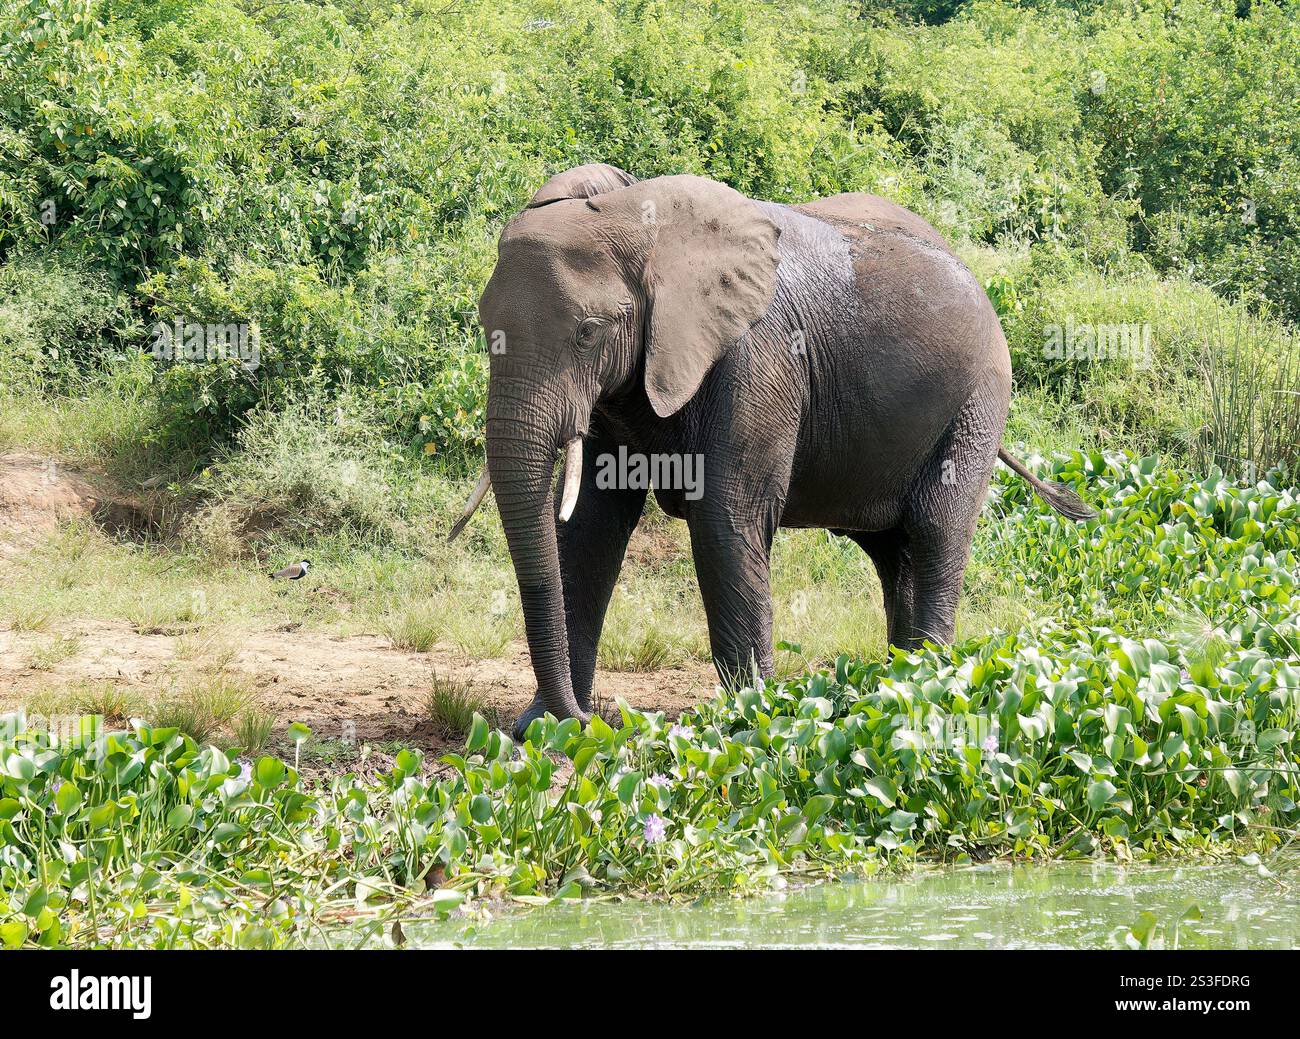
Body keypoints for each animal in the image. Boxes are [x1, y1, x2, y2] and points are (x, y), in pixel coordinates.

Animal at [450, 163, 1095, 738]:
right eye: (484, 326)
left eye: (589, 331)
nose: (587, 719)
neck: (640, 213)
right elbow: (589, 530)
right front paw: (546, 733)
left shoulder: (757, 357)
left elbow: (724, 520)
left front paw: (751, 726)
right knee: (895, 553)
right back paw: (899, 685)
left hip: (978, 400)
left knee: (937, 533)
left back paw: (930, 690)